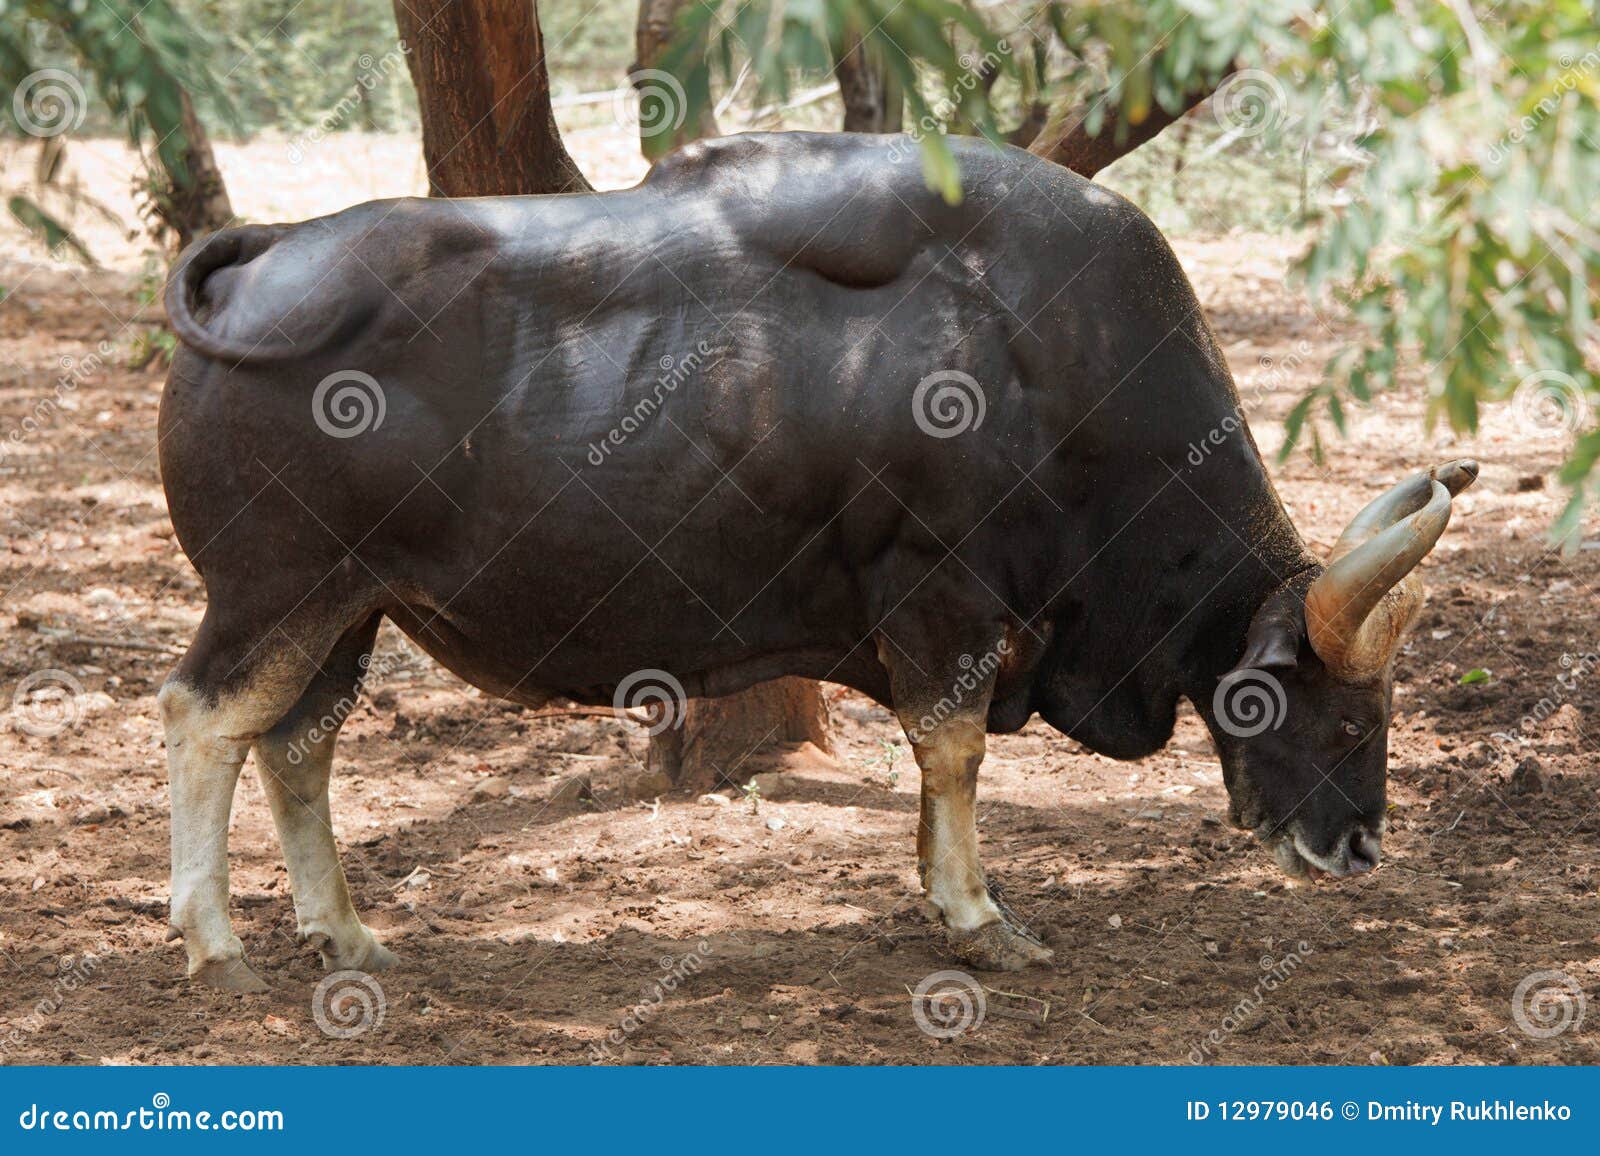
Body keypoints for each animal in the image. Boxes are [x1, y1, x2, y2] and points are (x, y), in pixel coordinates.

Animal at [157, 131, 1476, 991]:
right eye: (1350, 718)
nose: (1357, 845)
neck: (1038, 354)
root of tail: (264, 261)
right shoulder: (943, 596)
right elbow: (951, 750)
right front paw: (976, 914)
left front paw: (941, 891)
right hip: (273, 594)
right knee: (202, 719)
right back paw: (216, 944)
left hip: (349, 610)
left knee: (298, 746)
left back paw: (345, 933)